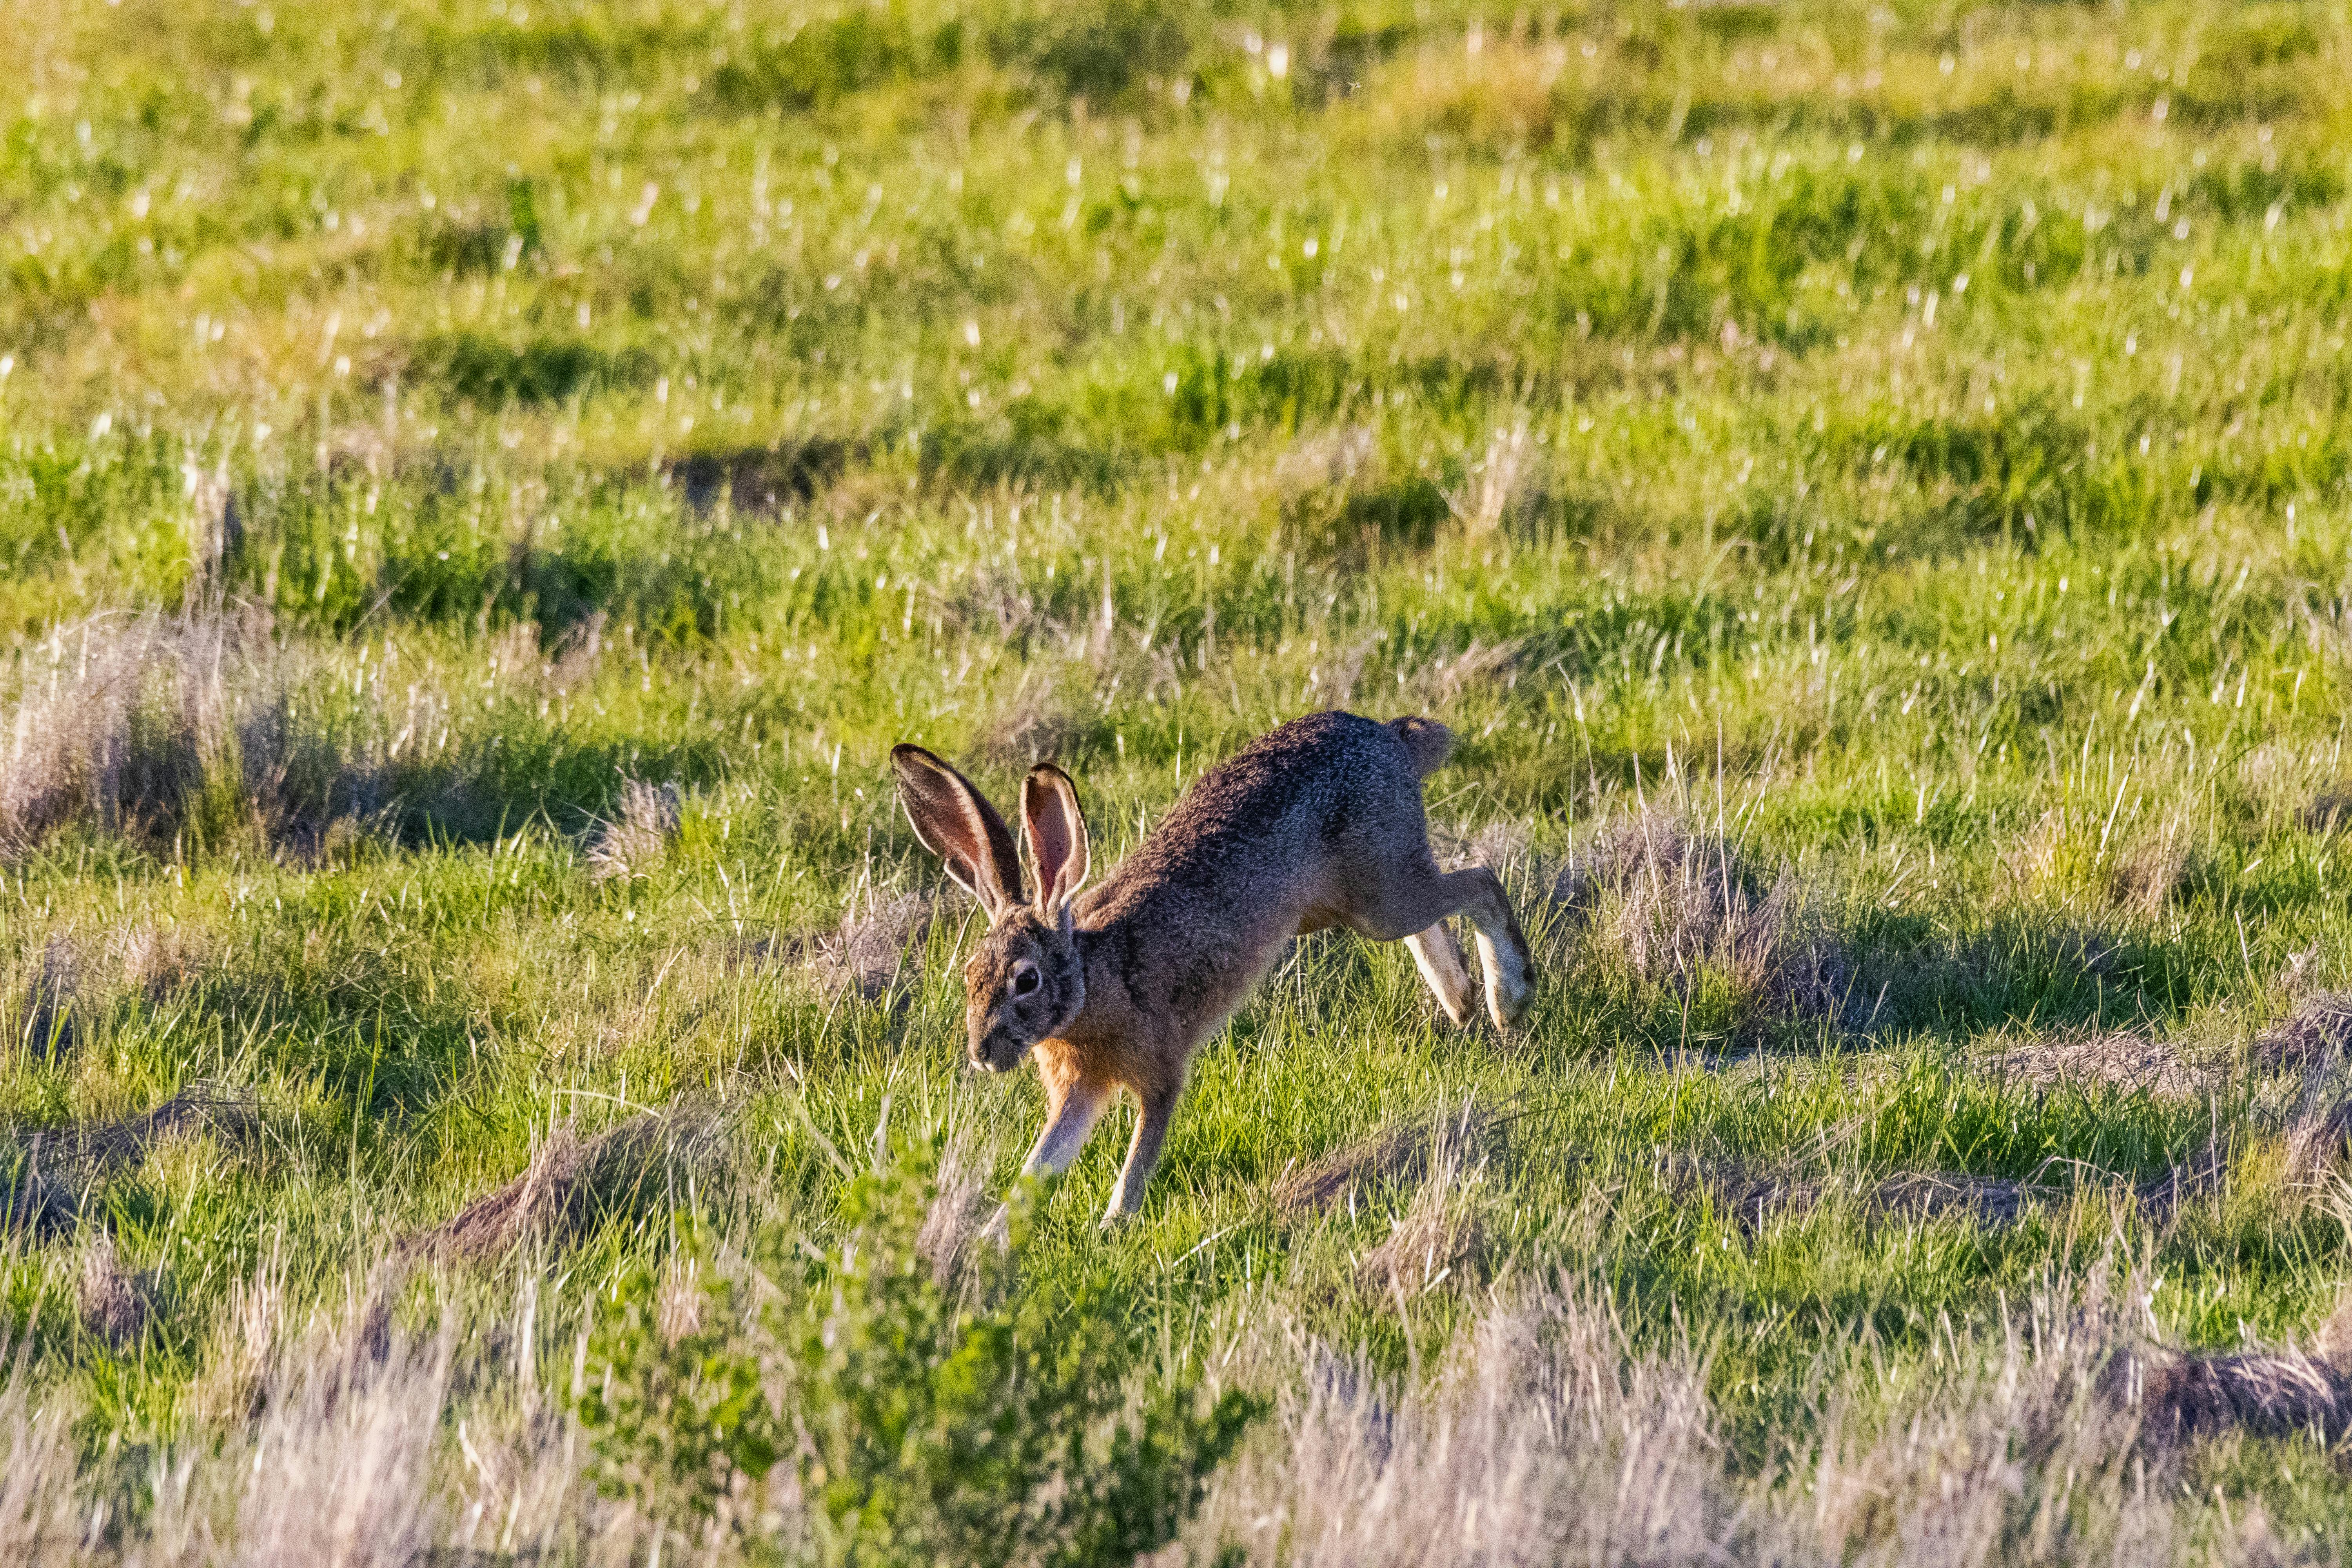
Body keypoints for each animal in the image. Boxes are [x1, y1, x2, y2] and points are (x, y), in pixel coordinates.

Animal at [892, 710, 1533, 1222]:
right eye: (970, 976)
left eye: (1027, 980)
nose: (982, 1053)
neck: (1094, 982)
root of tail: (1390, 740)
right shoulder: (1081, 1088)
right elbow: (1043, 1163)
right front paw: (995, 1235)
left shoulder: (1160, 1071)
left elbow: (1140, 1154)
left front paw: (1113, 1225)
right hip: (1358, 899)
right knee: (1437, 907)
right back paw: (1460, 998)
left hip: (1380, 896)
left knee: (1481, 882)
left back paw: (1509, 998)